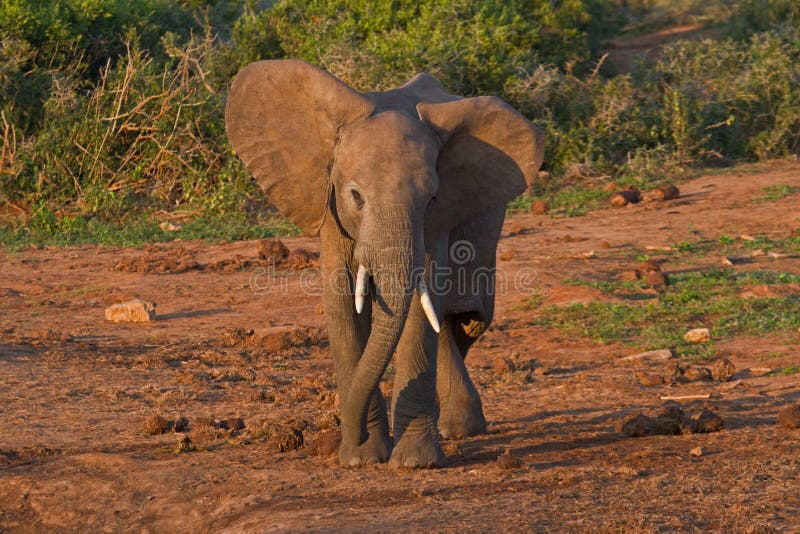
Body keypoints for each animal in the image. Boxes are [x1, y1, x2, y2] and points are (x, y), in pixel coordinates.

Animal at [225, 59, 544, 468]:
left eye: (431, 199)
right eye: (356, 196)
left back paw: (457, 429)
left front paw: (412, 463)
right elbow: (343, 301)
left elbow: (421, 305)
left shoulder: (437, 219)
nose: (352, 433)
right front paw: (360, 458)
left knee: (467, 317)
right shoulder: (331, 209)